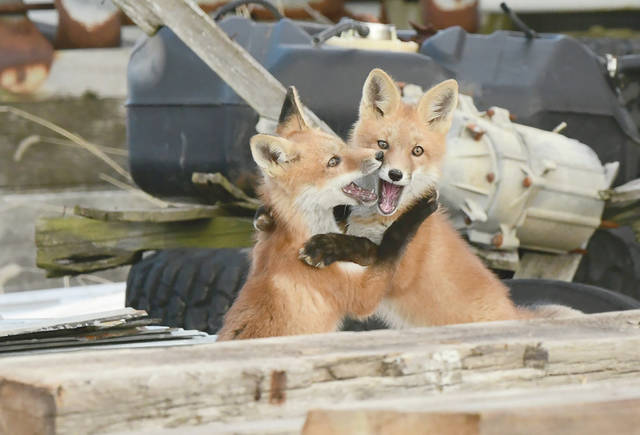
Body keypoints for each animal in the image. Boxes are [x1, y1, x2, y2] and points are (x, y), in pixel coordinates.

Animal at [217, 86, 439, 340]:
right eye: (333, 161)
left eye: (343, 147)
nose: (379, 155)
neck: (298, 234)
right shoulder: (362, 294)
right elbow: (392, 242)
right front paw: (421, 206)